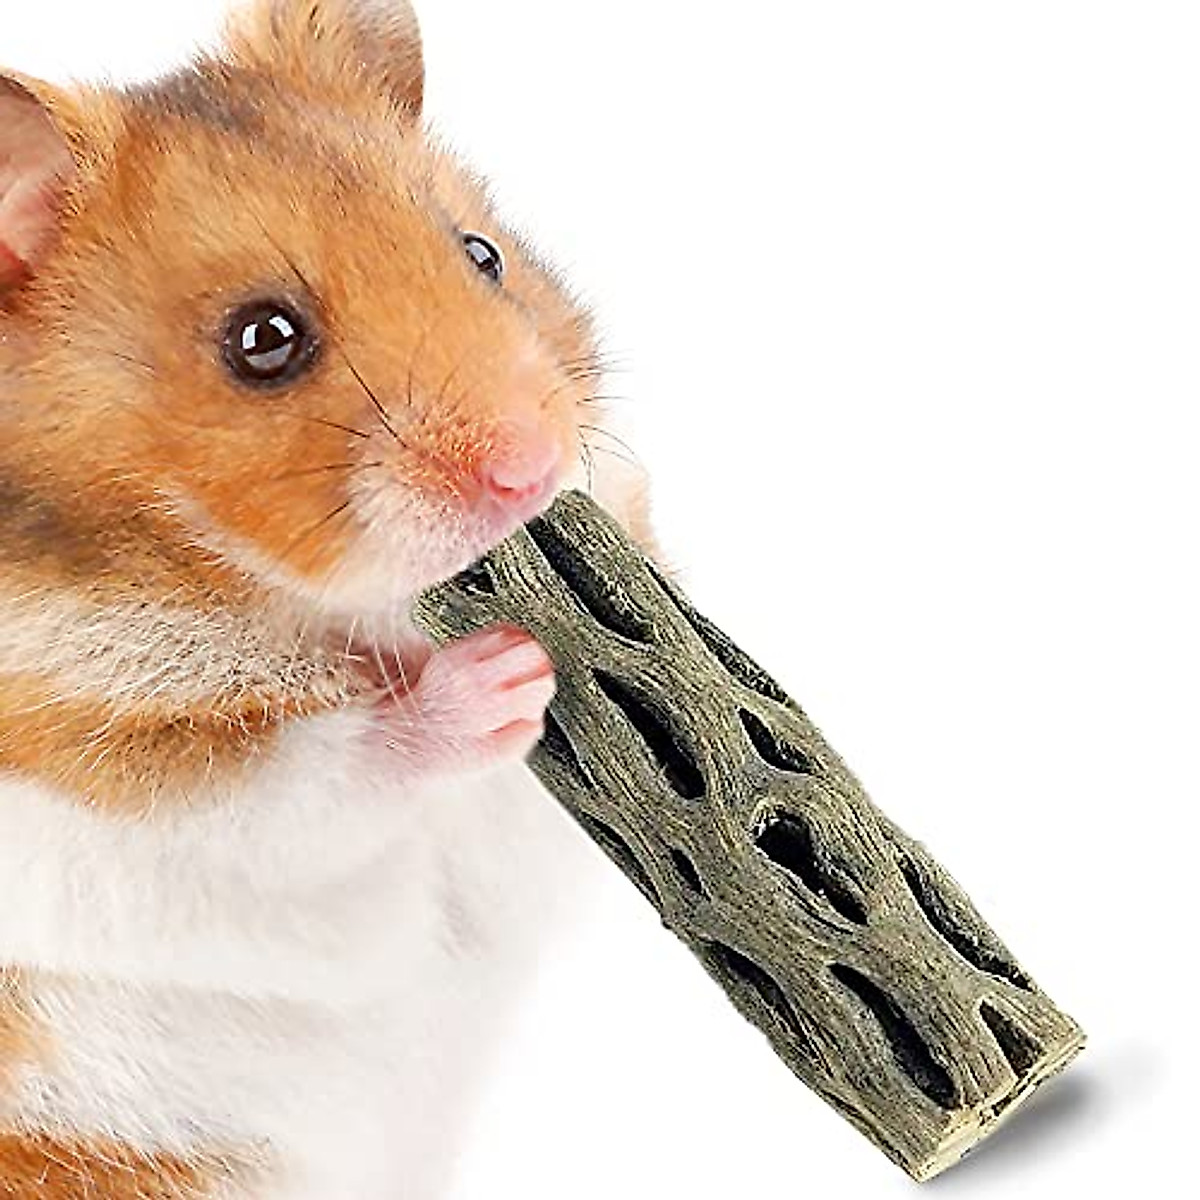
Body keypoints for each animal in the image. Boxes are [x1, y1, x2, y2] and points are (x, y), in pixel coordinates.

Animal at [0, 1, 653, 1196]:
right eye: (263, 340)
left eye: (482, 254)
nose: (529, 468)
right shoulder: (126, 816)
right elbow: (311, 776)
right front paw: (507, 676)